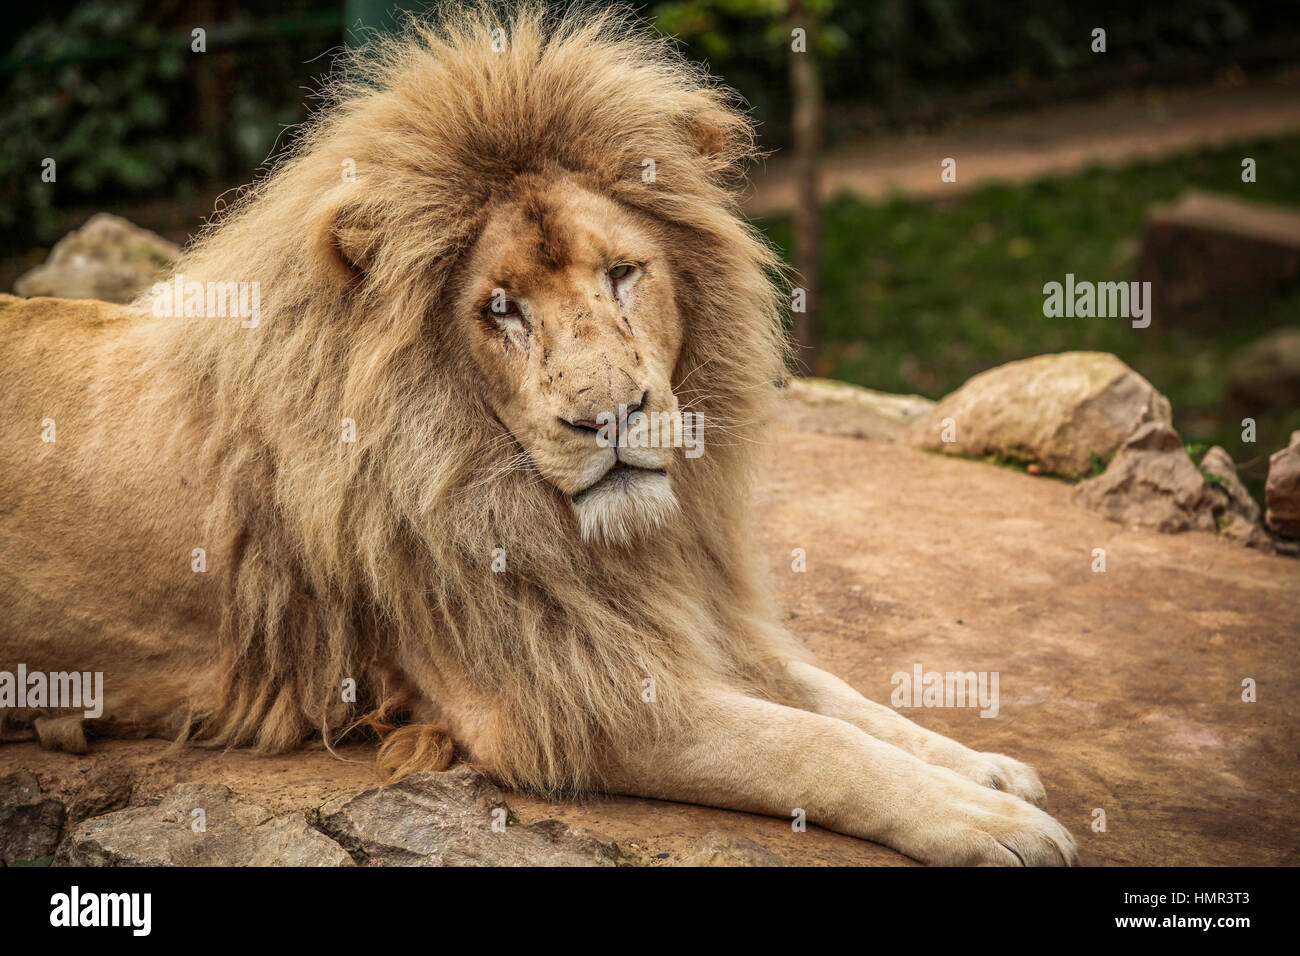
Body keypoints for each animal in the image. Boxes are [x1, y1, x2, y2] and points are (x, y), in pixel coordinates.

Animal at [0, 3, 1076, 865]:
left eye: (622, 273)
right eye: (501, 308)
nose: (610, 415)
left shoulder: (667, 611)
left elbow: (833, 695)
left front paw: (985, 767)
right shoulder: (549, 698)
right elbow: (806, 742)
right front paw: (985, 822)